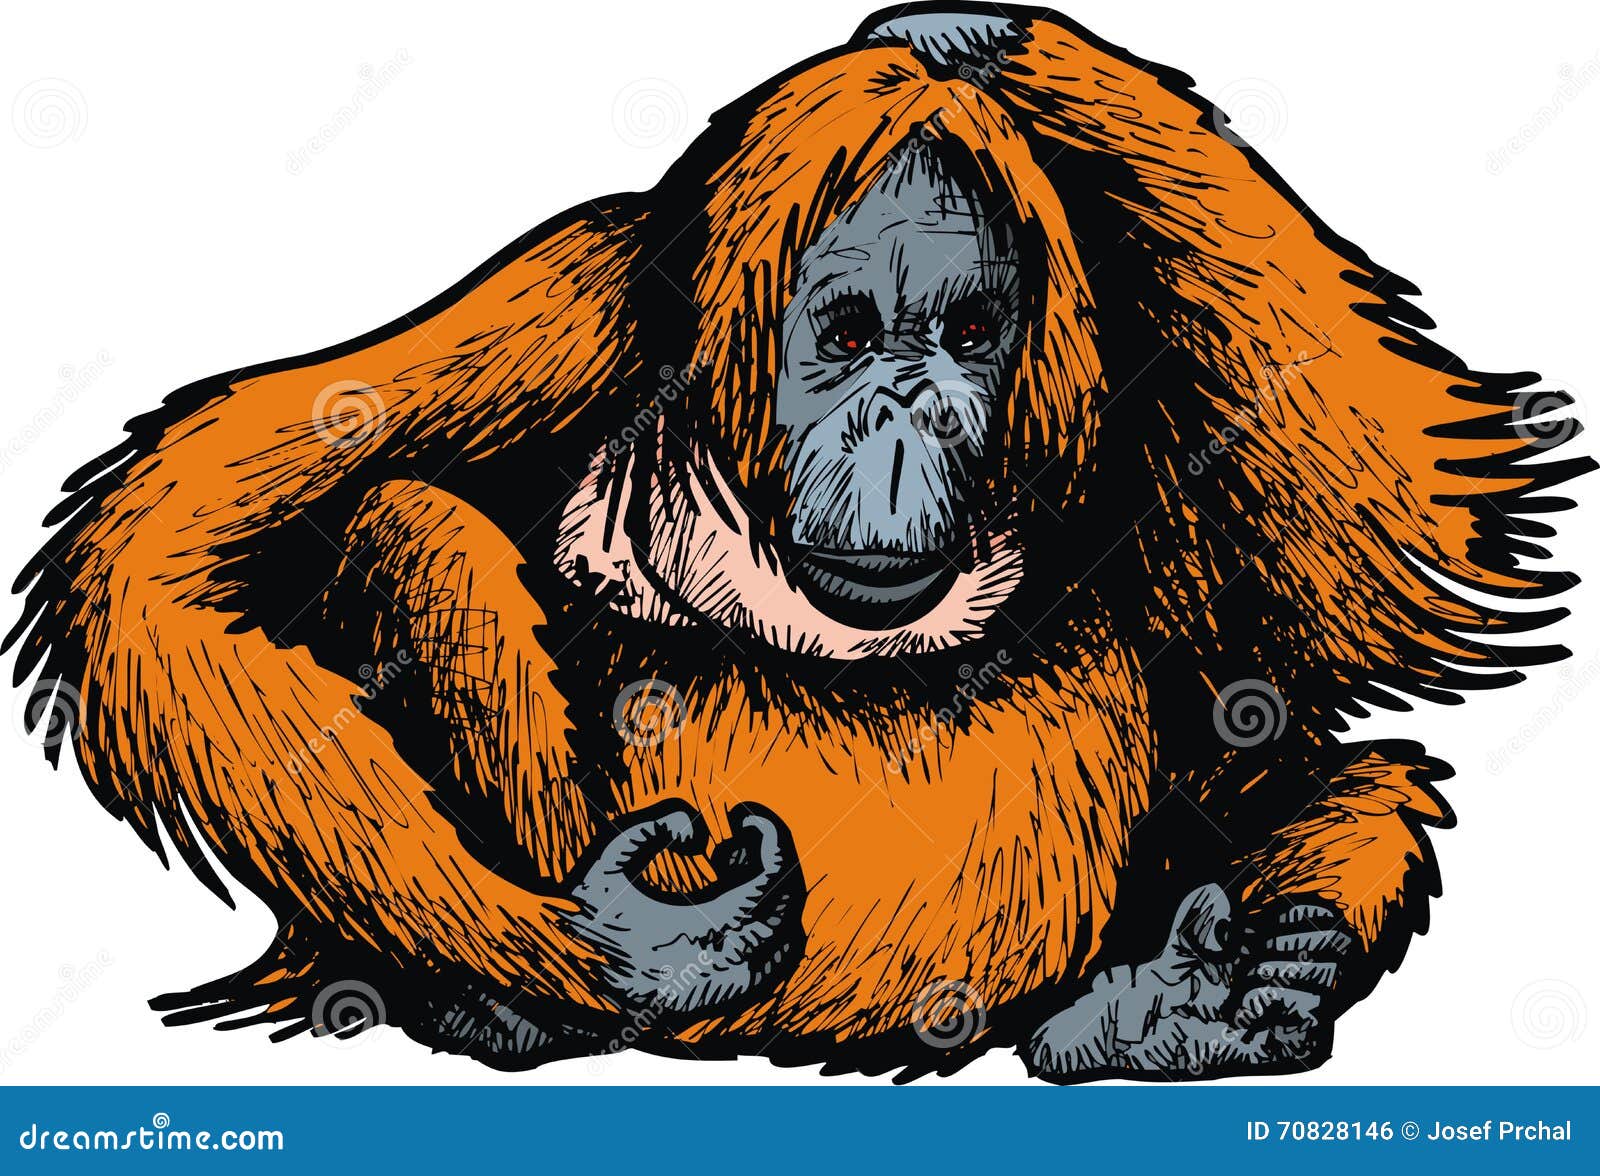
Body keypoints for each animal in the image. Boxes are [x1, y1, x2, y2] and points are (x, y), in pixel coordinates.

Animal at [9, 5, 1588, 1081]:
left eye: (965, 337)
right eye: (845, 336)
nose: (903, 413)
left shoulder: (1124, 375)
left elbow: (1354, 541)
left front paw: (960, 33)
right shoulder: (575, 294)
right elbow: (186, 530)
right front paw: (618, 946)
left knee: (1329, 760)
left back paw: (1177, 1002)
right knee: (417, 524)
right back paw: (513, 1002)